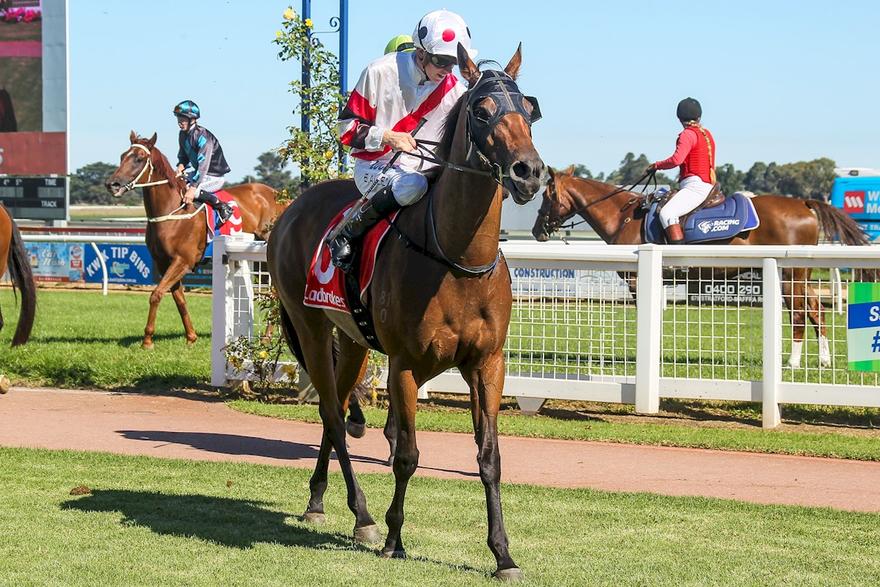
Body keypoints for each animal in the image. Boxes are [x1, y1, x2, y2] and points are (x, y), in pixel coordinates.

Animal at [105, 132, 283, 348]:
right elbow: (179, 299)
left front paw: (147, 340)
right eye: (123, 156)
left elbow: (156, 294)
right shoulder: (164, 262)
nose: (112, 184)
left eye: (139, 158)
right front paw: (191, 337)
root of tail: (281, 196)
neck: (173, 211)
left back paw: (267, 337)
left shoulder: (183, 261)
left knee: (275, 292)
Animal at [267, 44, 544, 579]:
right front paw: (395, 538)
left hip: (352, 339)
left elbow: (489, 458)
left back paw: (318, 501)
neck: (458, 260)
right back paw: (364, 517)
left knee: (337, 412)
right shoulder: (404, 365)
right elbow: (407, 454)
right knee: (333, 415)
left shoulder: (487, 364)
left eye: (530, 108)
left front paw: (503, 554)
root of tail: (292, 209)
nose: (528, 172)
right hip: (310, 326)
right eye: (482, 110)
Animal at [532, 166, 871, 368]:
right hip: (801, 275)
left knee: (800, 314)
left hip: (789, 276)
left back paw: (792, 362)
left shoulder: (637, 281)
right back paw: (823, 360)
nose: (537, 230)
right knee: (816, 310)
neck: (624, 215)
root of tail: (804, 203)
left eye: (546, 194)